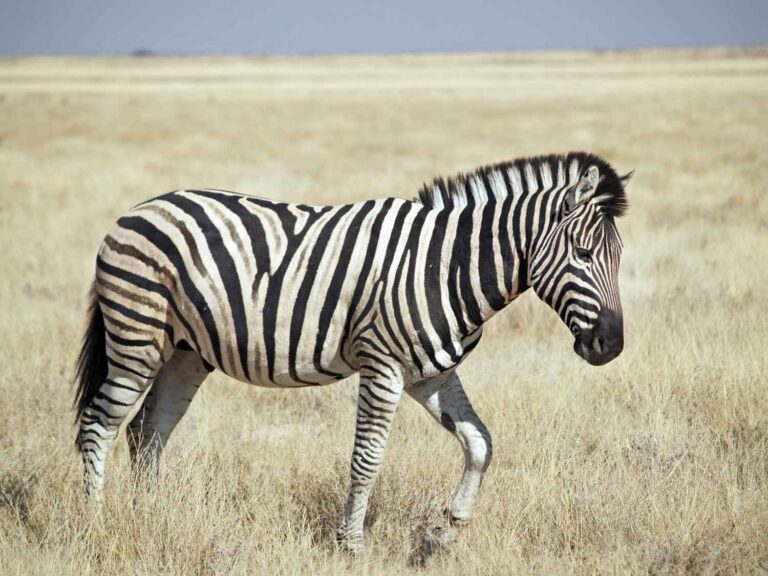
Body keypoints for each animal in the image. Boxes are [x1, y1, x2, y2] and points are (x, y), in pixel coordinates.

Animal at [74, 151, 631, 554]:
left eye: (620, 258)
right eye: (583, 254)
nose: (612, 346)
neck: (446, 266)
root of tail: (139, 209)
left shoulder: (431, 373)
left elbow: (480, 443)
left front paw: (449, 530)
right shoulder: (382, 365)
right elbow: (367, 459)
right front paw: (352, 546)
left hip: (185, 352)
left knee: (147, 433)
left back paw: (150, 516)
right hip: (136, 338)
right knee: (99, 425)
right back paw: (97, 524)